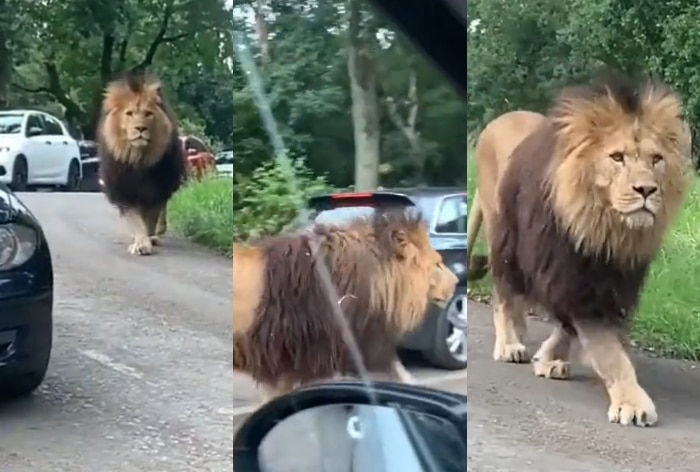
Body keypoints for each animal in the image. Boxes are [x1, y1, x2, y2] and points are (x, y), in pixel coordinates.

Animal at [97, 69, 186, 255]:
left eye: (148, 114)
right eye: (129, 113)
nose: (140, 128)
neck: (138, 158)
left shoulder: (157, 188)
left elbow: (150, 217)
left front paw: (148, 239)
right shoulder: (124, 189)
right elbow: (135, 220)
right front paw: (141, 243)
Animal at [469, 74, 692, 427]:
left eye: (656, 159)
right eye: (617, 157)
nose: (646, 190)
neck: (605, 230)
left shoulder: (607, 281)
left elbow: (570, 327)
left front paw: (549, 359)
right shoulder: (565, 271)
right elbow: (609, 352)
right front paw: (633, 403)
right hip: (502, 233)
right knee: (503, 292)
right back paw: (509, 343)